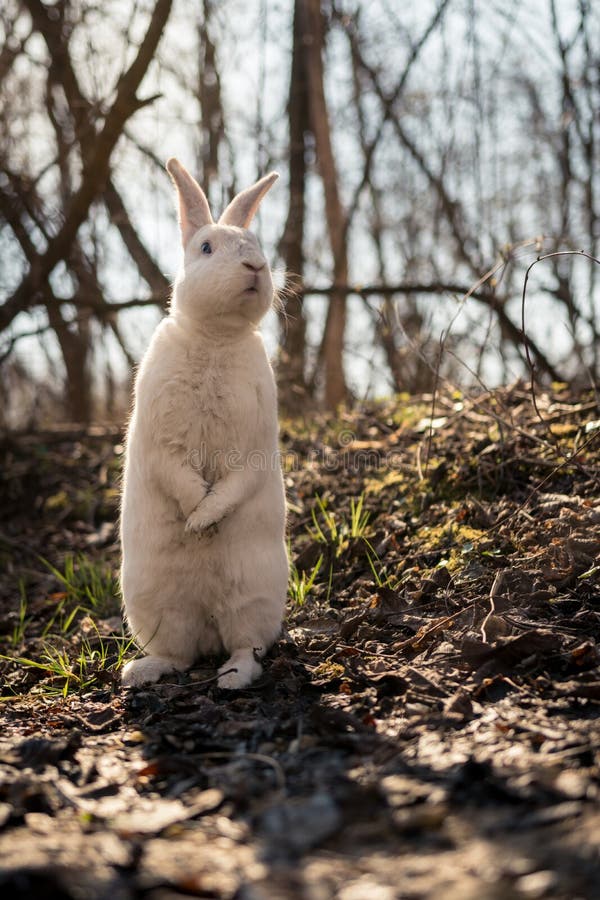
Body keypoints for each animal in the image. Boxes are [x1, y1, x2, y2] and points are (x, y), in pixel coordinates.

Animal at [120, 159, 288, 690]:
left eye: (255, 244)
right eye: (206, 248)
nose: (255, 267)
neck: (216, 337)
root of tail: (210, 626)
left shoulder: (254, 443)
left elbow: (234, 482)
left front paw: (204, 519)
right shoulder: (160, 441)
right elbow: (178, 474)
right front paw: (196, 518)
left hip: (253, 597)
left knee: (245, 645)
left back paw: (233, 677)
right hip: (155, 606)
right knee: (180, 653)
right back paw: (141, 672)